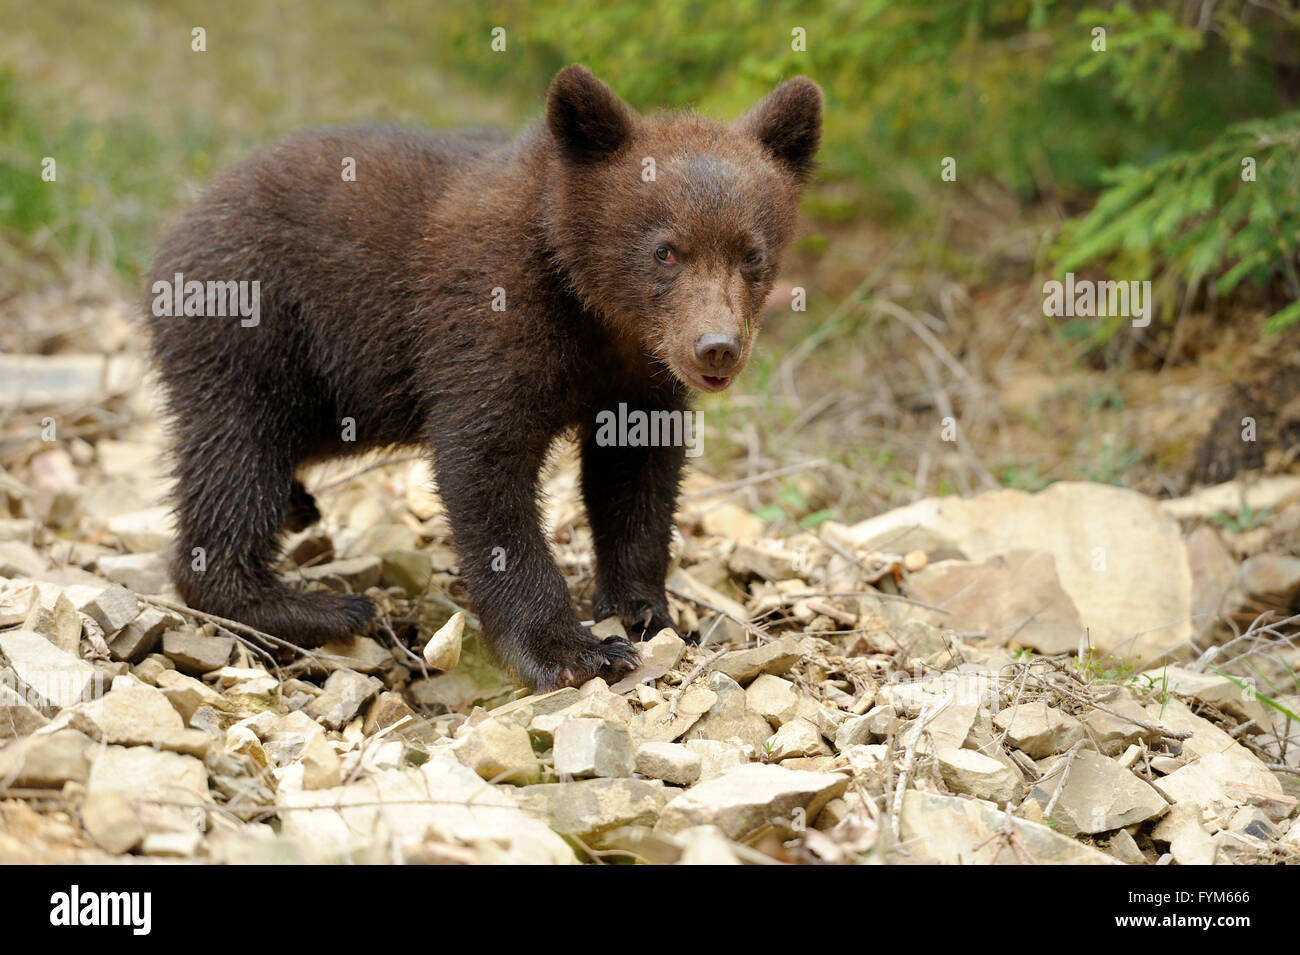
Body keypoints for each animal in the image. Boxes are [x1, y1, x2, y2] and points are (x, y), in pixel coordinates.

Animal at [144, 64, 822, 691]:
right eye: (665, 250)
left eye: (751, 253)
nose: (717, 348)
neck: (594, 314)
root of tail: (179, 224)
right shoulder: (487, 317)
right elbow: (485, 467)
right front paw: (574, 650)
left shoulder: (638, 377)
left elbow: (636, 473)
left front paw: (644, 612)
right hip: (253, 329)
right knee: (237, 457)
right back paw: (311, 606)